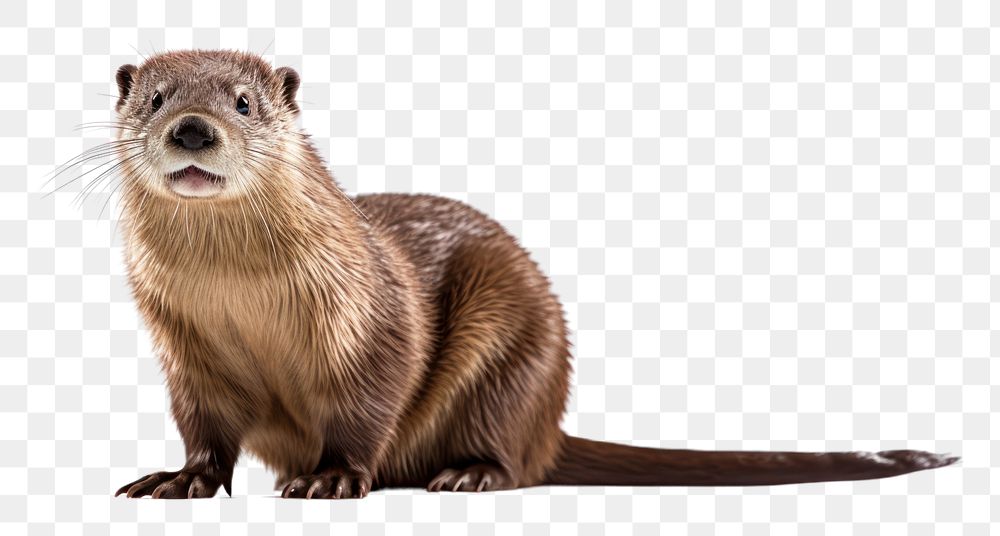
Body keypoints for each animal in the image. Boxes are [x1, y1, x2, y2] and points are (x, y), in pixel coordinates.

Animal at [97, 50, 956, 499]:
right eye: (157, 97)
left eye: (244, 102)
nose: (194, 129)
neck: (243, 301)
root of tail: (548, 425)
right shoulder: (184, 348)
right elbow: (203, 426)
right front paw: (178, 479)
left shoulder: (372, 322)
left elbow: (367, 405)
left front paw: (330, 477)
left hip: (515, 342)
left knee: (509, 457)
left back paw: (467, 473)